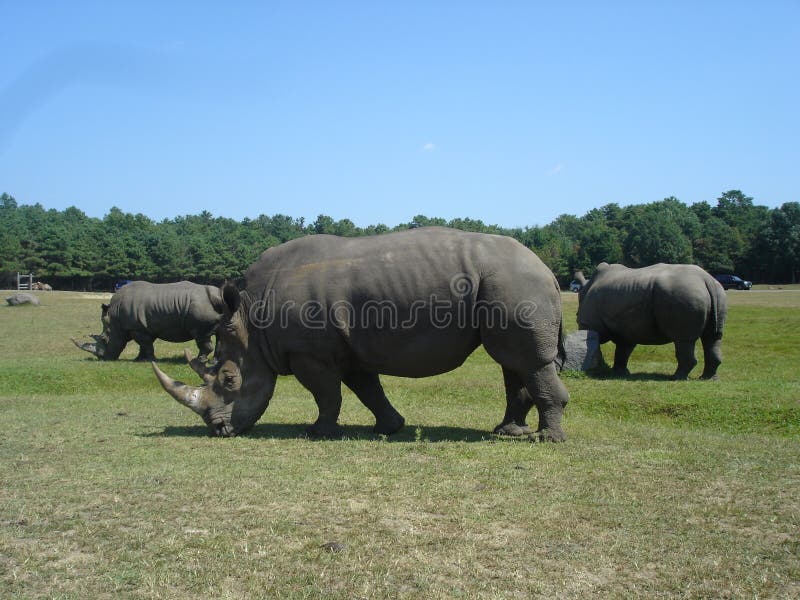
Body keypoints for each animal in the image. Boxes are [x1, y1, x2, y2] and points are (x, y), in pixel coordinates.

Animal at [73, 281, 224, 361]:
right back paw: (214, 362)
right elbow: (143, 345)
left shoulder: (137, 328)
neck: (115, 319)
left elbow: (146, 344)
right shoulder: (143, 328)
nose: (102, 358)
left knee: (200, 334)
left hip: (200, 308)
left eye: (104, 339)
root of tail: (217, 295)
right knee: (221, 335)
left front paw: (150, 360)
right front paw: (139, 359)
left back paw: (199, 360)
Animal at [152, 227, 570, 441]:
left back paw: (547, 440)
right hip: (506, 284)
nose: (219, 429)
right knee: (512, 360)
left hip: (514, 284)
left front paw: (316, 432)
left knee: (525, 360)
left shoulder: (310, 353)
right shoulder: (347, 347)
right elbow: (367, 388)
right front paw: (390, 428)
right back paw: (508, 433)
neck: (252, 321)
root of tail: (548, 270)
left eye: (228, 379)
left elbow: (326, 393)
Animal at [574, 262, 727, 379]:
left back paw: (676, 378)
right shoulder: (627, 329)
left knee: (683, 340)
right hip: (715, 293)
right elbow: (623, 351)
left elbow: (593, 345)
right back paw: (707, 378)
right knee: (713, 338)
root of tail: (706, 280)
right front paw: (620, 373)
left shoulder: (591, 324)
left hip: (684, 293)